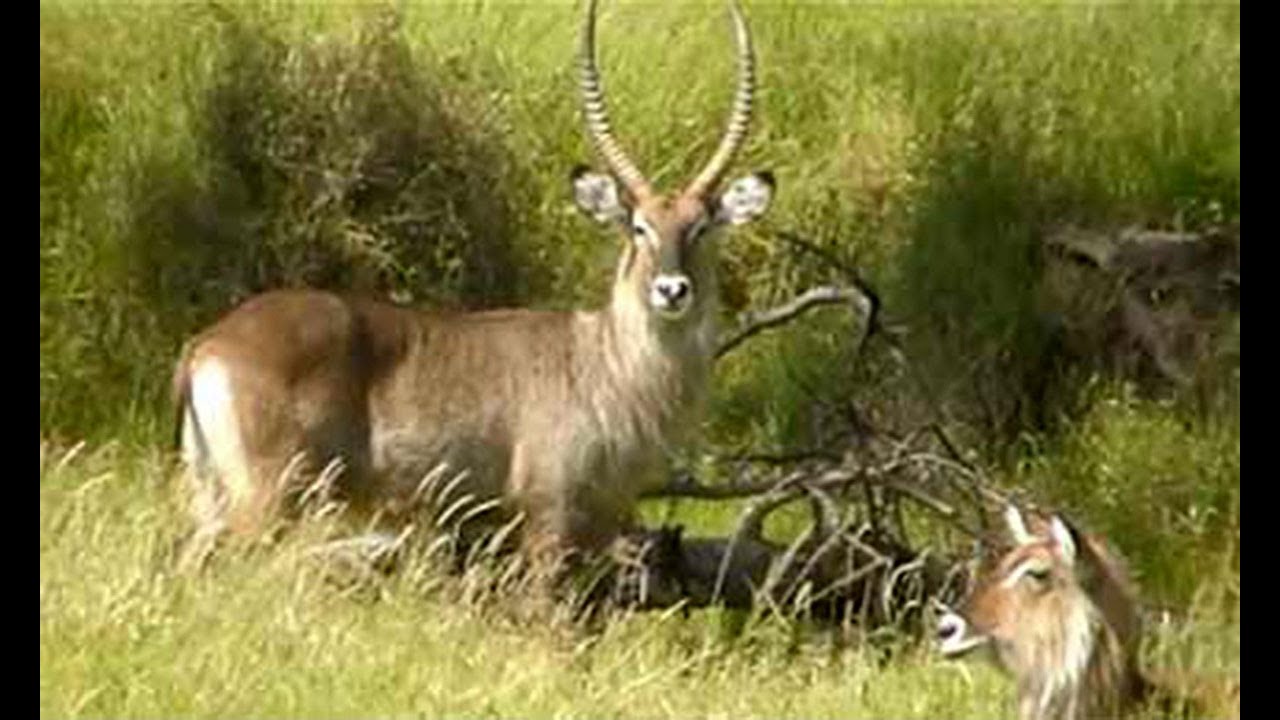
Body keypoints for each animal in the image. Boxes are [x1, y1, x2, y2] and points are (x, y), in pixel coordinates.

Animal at [172, 0, 776, 575]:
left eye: (702, 227)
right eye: (638, 226)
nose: (671, 290)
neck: (606, 365)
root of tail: (208, 343)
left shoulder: (598, 530)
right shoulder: (549, 522)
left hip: (213, 501)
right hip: (268, 500)